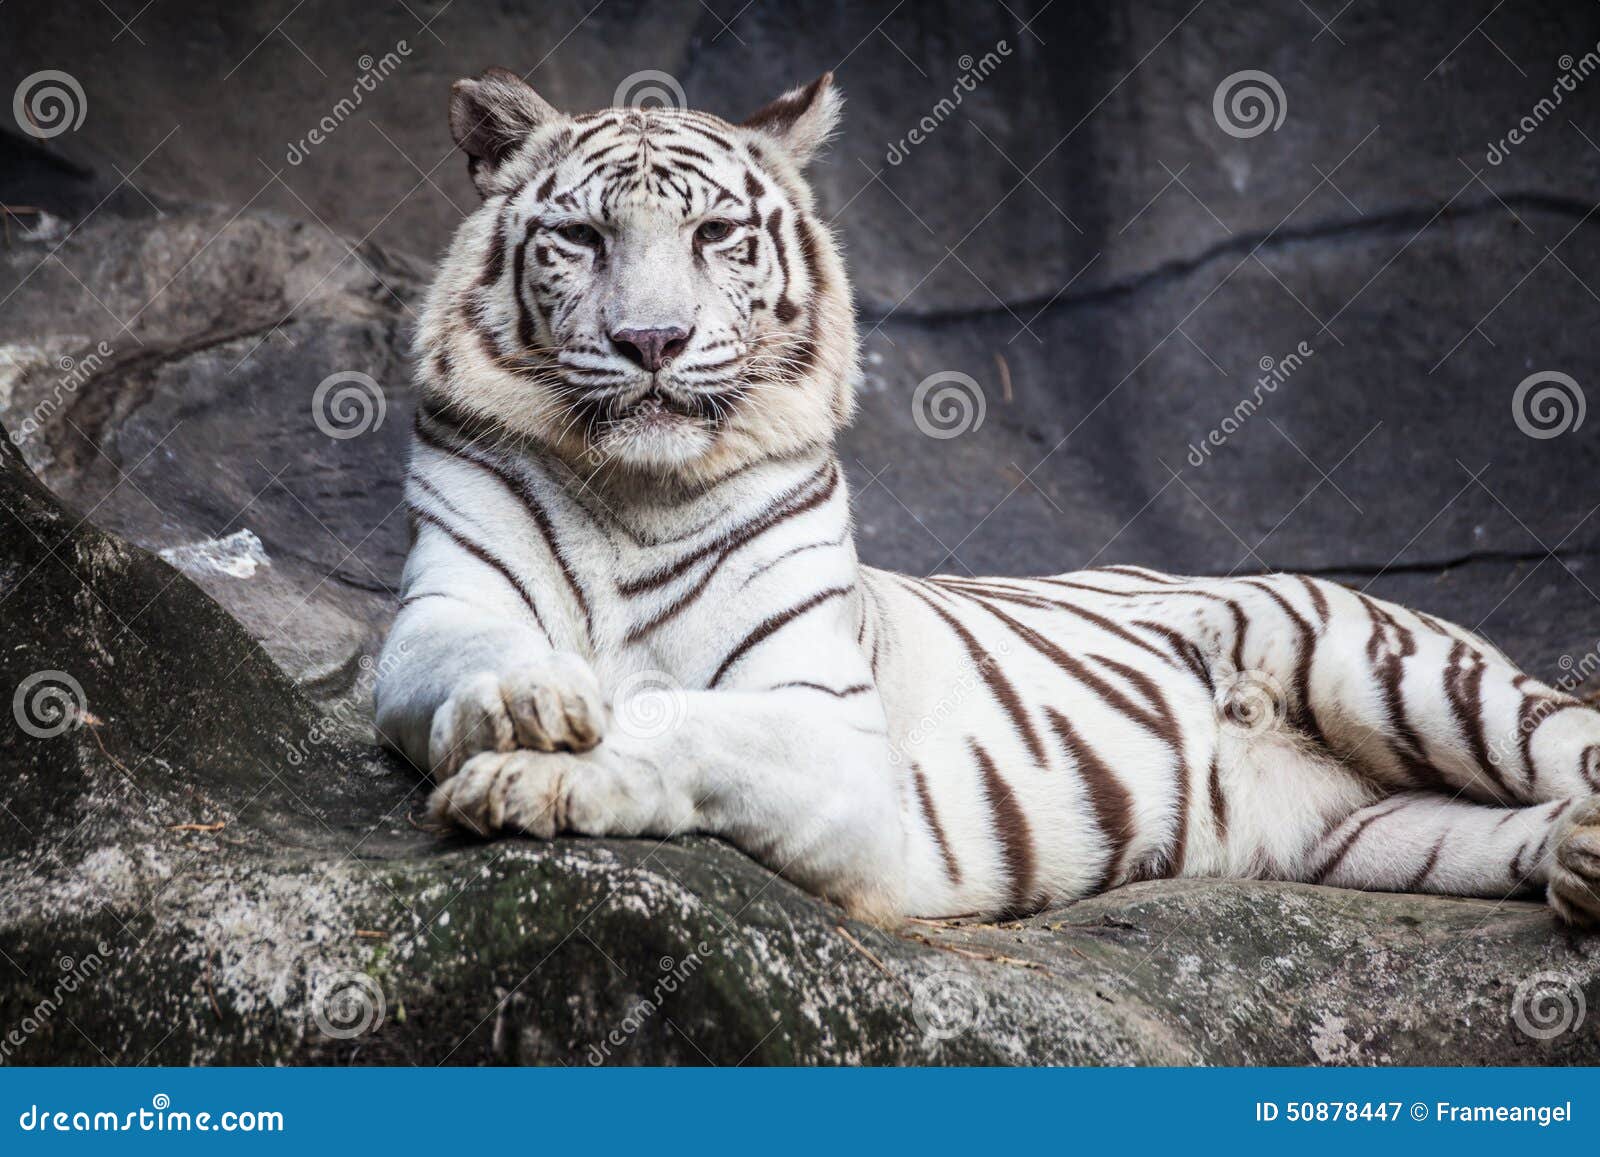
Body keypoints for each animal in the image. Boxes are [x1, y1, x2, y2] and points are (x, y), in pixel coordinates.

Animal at [375, 67, 1600, 927]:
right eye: (581, 238)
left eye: (715, 234)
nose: (651, 341)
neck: (637, 483)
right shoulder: (434, 616)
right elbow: (475, 661)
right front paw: (529, 707)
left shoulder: (830, 727)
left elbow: (681, 719)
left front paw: (538, 774)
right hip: (1370, 835)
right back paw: (1577, 861)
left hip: (1391, 668)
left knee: (1565, 739)